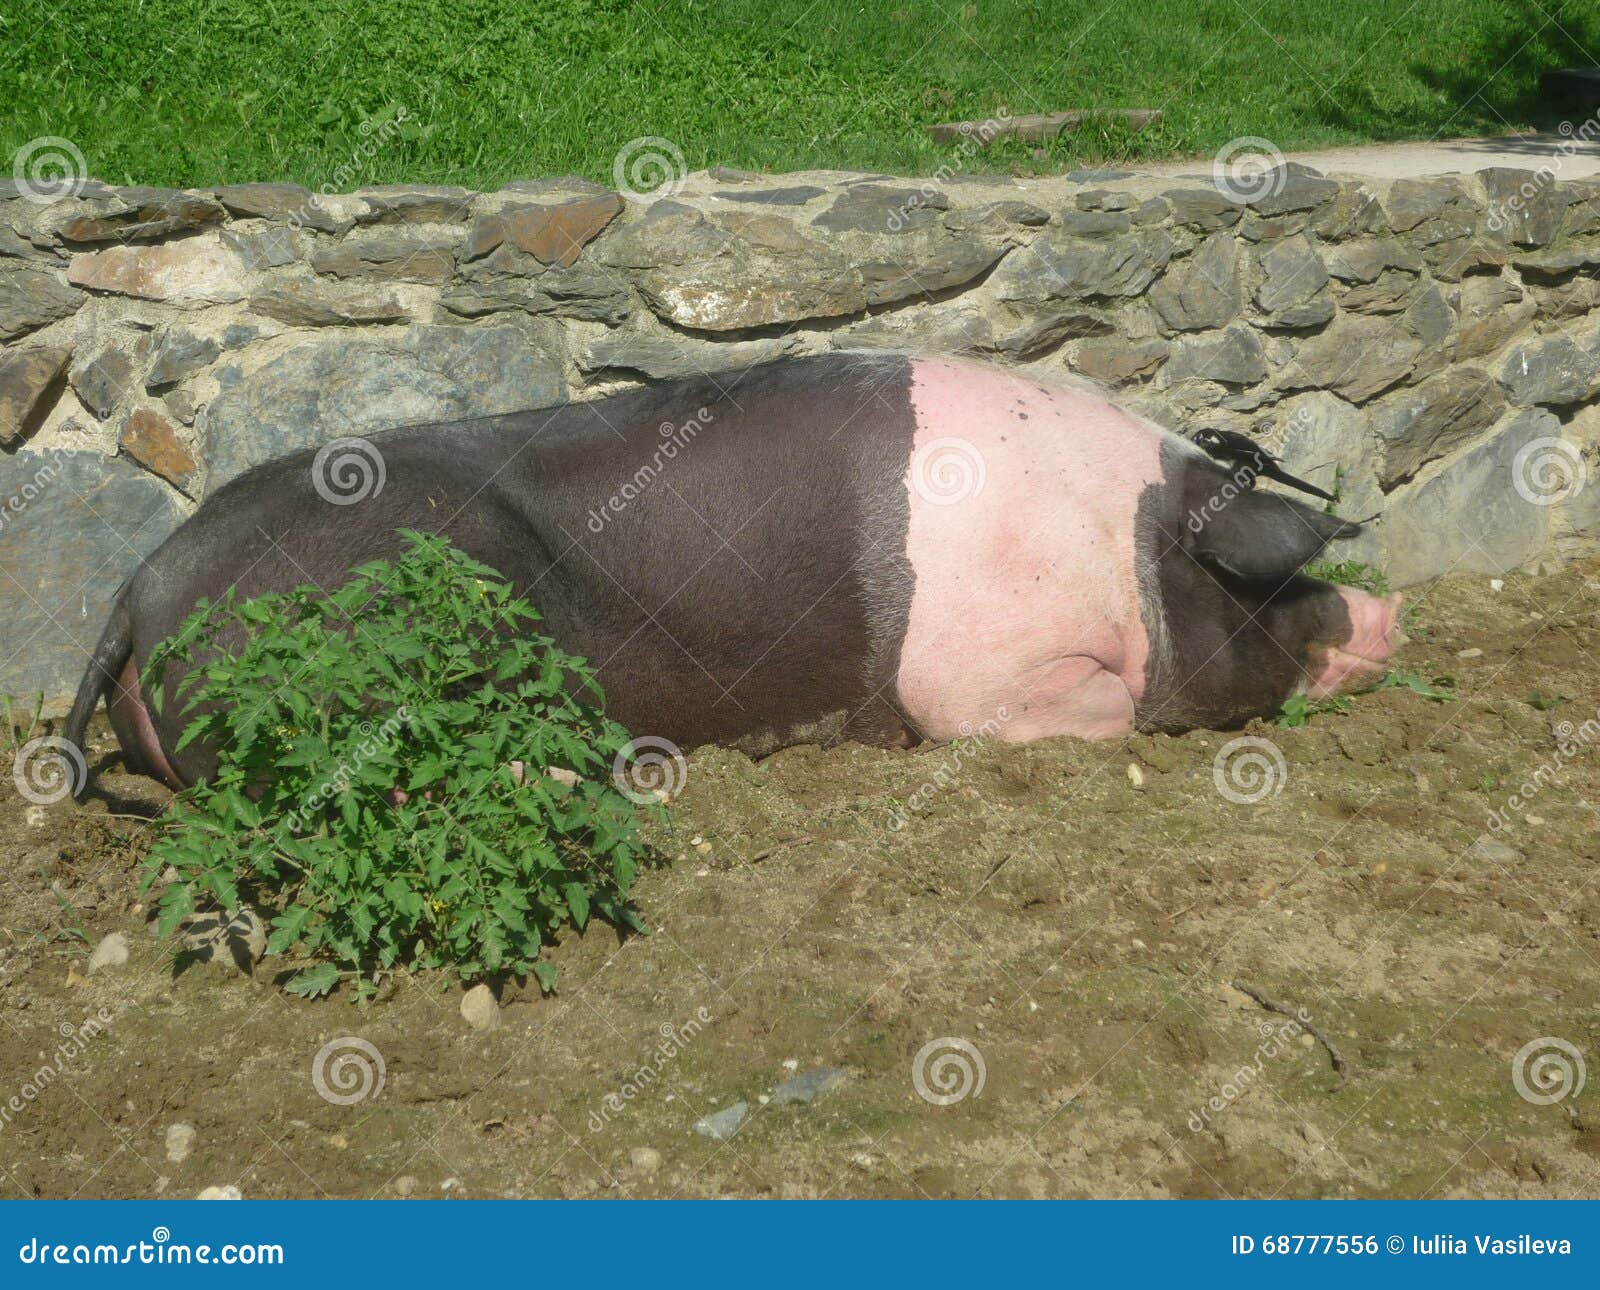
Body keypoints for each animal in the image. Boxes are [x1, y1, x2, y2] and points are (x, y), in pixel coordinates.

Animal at [64, 352, 1400, 790]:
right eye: (1269, 581)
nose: (1385, 613)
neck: (1120, 544)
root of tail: (139, 591)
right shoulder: (973, 677)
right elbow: (1089, 711)